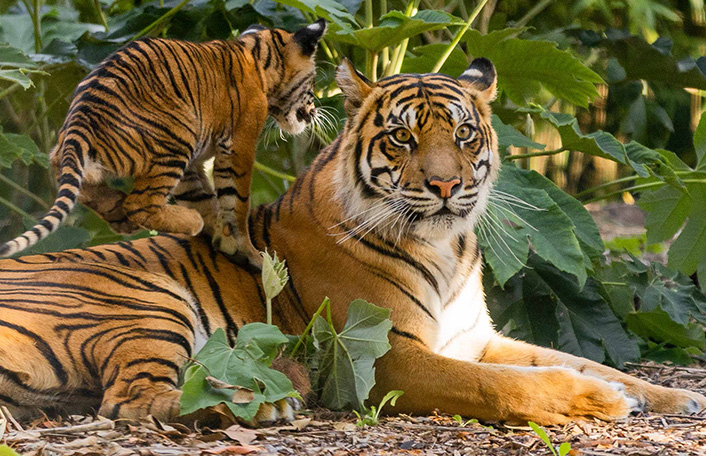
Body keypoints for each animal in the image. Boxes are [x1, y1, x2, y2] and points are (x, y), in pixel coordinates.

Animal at [0, 19, 327, 268]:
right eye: (312, 82)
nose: (314, 110)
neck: (257, 57)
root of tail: (82, 112)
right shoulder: (238, 145)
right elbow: (236, 203)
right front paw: (252, 254)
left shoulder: (197, 161)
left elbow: (202, 196)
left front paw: (222, 237)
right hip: (177, 136)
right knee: (139, 203)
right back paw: (184, 221)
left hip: (80, 150)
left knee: (68, 171)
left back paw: (118, 213)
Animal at [1, 57, 705, 425]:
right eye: (402, 137)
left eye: (464, 133)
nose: (446, 185)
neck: (447, 249)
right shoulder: (390, 357)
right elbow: (501, 385)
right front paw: (596, 401)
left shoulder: (477, 337)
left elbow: (591, 361)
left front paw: (672, 395)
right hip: (148, 300)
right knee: (131, 401)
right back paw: (263, 402)